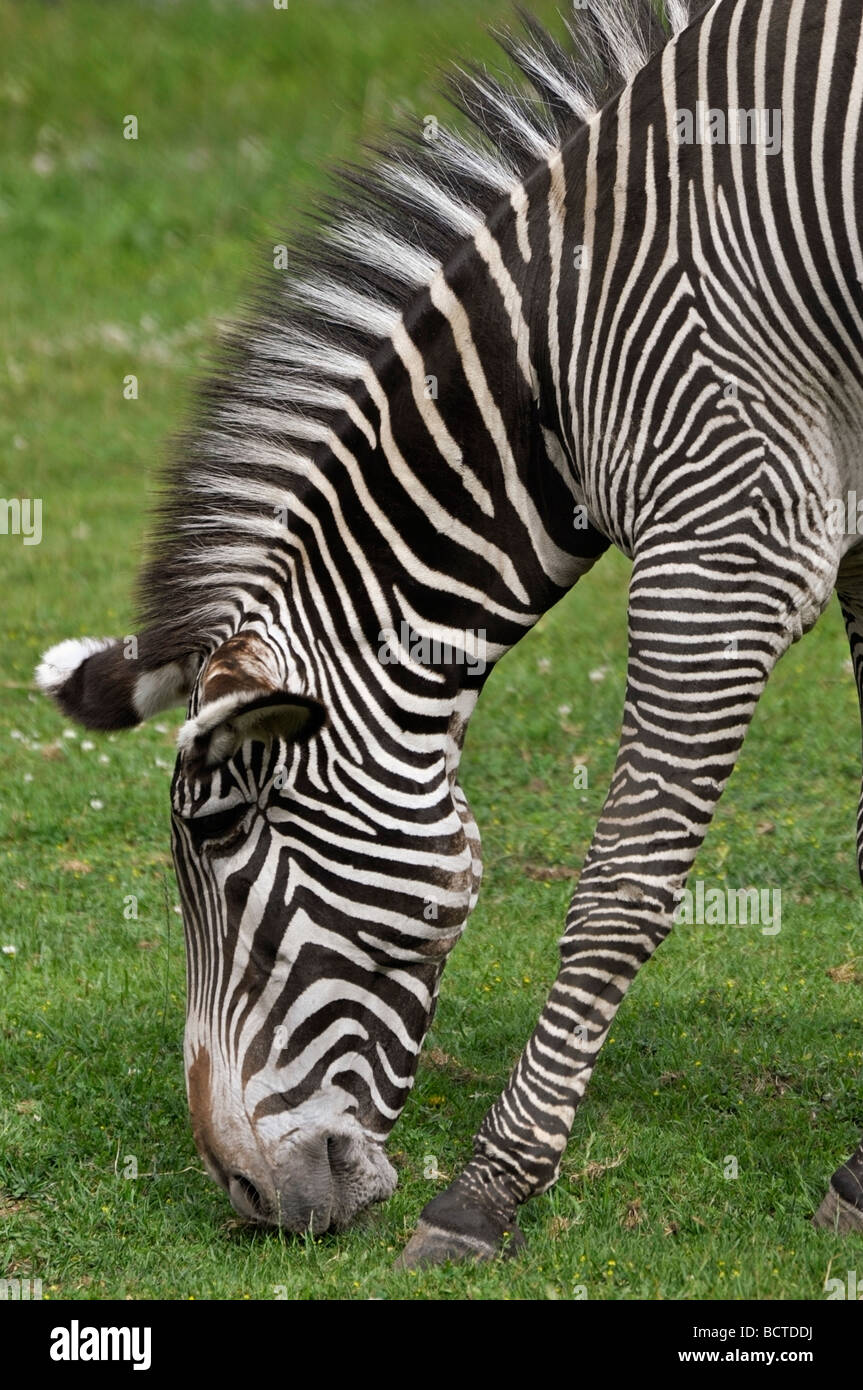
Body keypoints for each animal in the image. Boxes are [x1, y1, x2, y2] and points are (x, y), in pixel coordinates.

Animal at [37, 0, 861, 1267]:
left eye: (223, 839)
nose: (245, 1194)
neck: (563, 340)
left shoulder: (731, 533)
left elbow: (618, 883)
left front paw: (485, 1188)